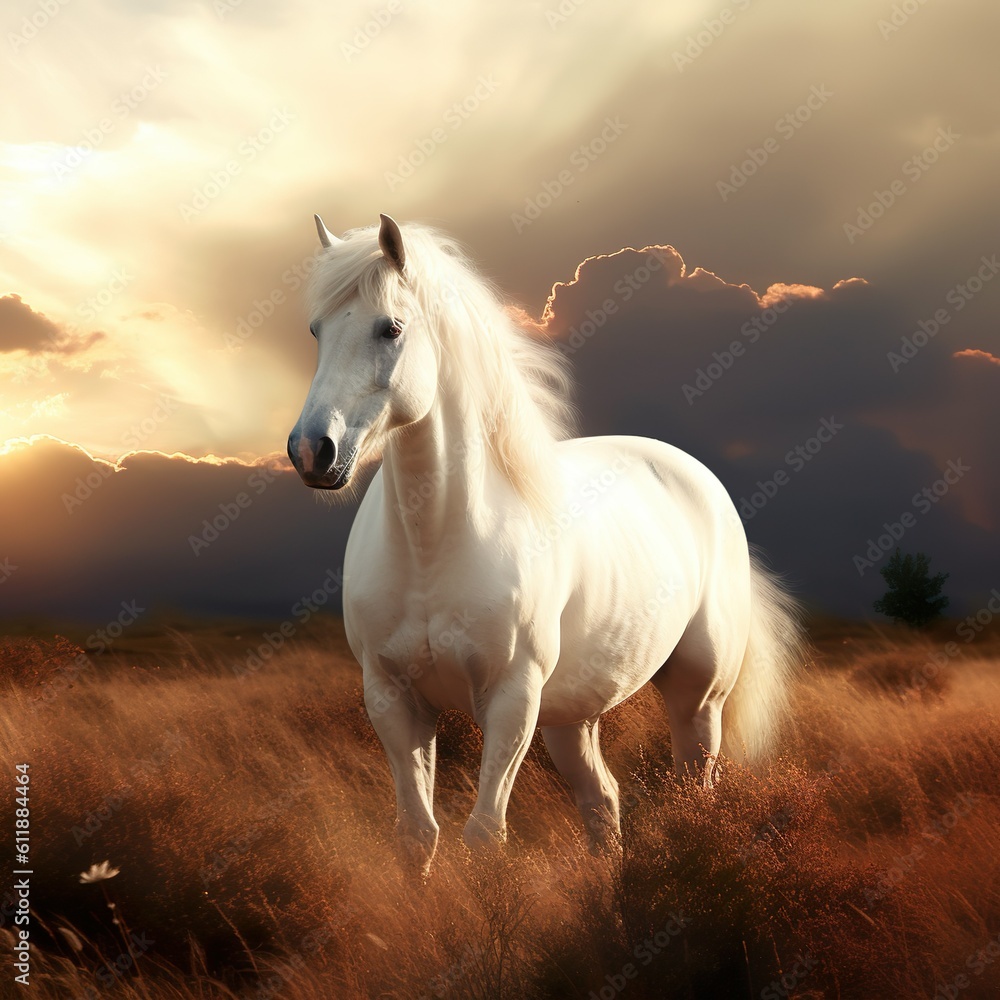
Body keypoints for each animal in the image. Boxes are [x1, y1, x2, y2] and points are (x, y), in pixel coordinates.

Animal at [287, 212, 802, 870]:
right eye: (316, 330)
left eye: (390, 327)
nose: (311, 450)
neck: (434, 547)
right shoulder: (393, 699)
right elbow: (417, 834)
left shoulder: (511, 698)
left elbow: (485, 834)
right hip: (569, 716)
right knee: (602, 802)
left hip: (697, 699)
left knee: (695, 790)